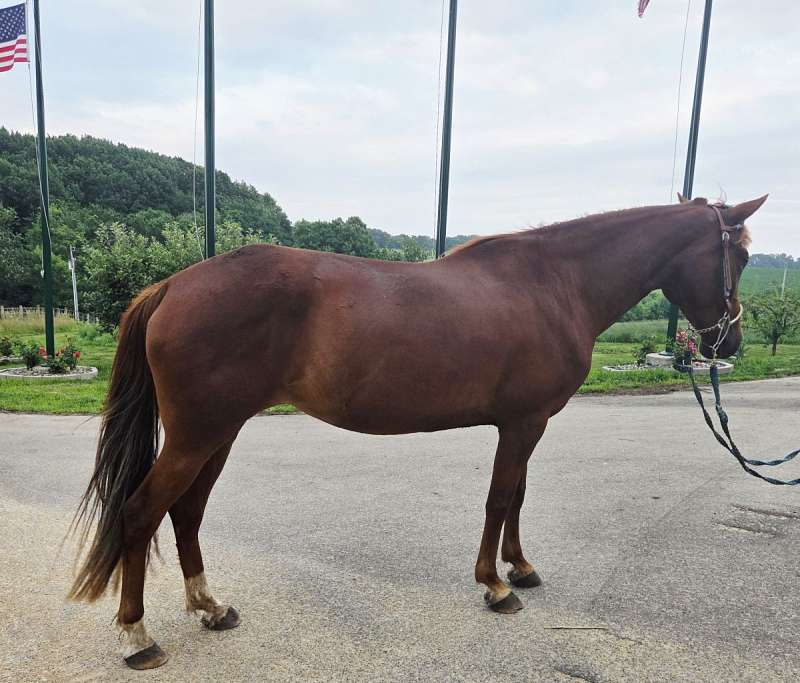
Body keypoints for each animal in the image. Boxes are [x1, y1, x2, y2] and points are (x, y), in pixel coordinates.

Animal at [68, 195, 765, 669]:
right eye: (740, 253)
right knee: (140, 513)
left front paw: (520, 567)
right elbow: (499, 497)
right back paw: (138, 636)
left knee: (185, 512)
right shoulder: (522, 422)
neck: (554, 283)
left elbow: (516, 496)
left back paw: (210, 607)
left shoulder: (529, 423)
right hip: (198, 433)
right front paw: (495, 585)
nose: (728, 342)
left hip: (219, 432)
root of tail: (171, 285)